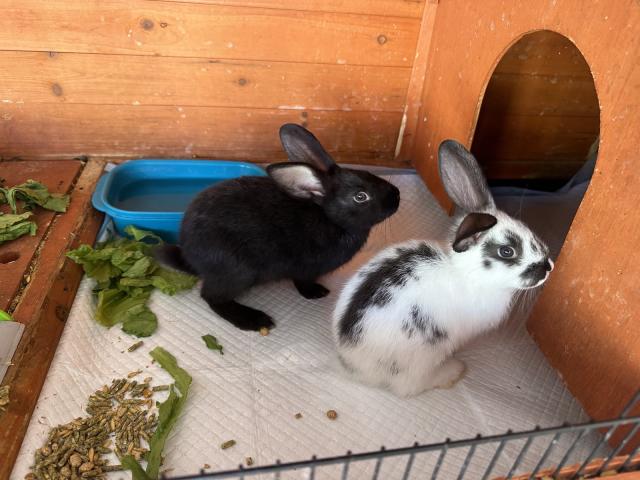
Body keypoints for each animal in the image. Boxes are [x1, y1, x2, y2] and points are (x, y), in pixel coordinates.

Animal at [156, 124, 400, 331]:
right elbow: (302, 282)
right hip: (237, 271)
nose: (396, 196)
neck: (330, 219)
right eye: (361, 196)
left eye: (370, 175)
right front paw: (316, 293)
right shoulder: (305, 268)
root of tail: (191, 257)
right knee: (212, 297)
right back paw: (253, 320)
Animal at [332, 139, 553, 397]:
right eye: (507, 251)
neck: (468, 273)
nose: (548, 267)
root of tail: (351, 365)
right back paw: (452, 371)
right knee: (410, 386)